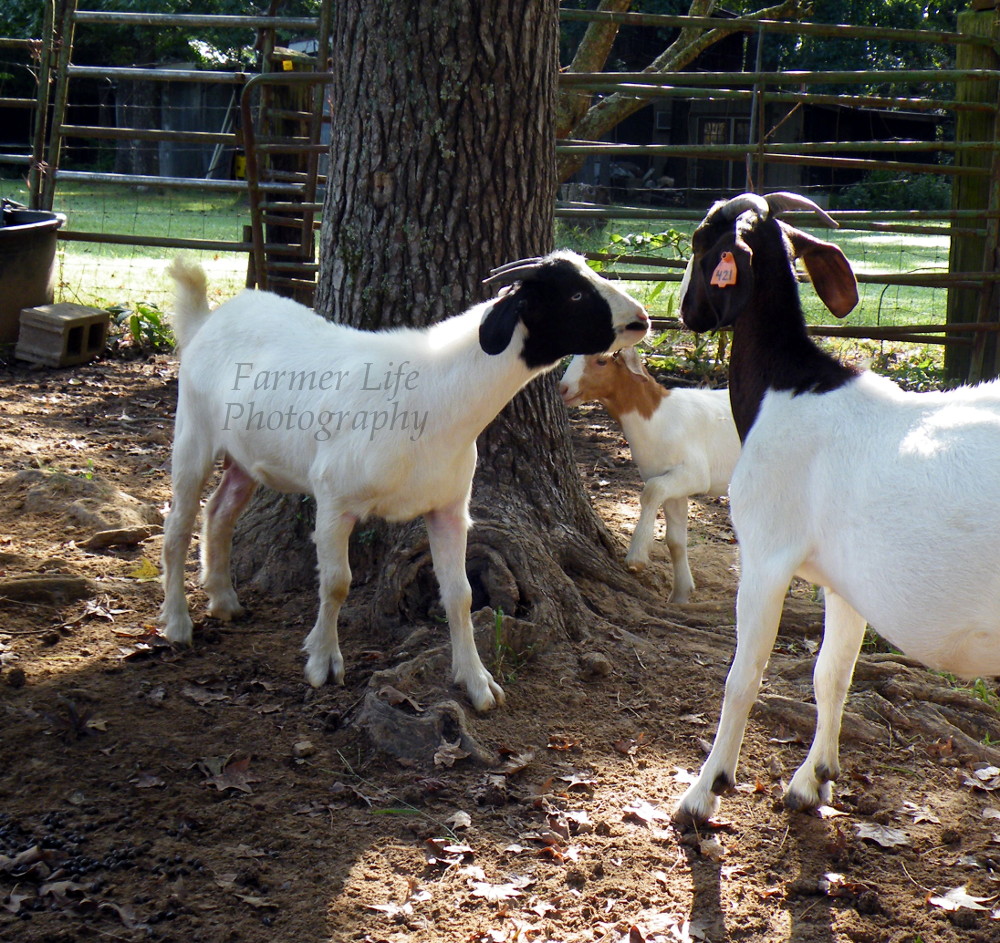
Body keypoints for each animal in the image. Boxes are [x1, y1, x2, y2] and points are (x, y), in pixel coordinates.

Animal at [161, 252, 649, 712]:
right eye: (574, 295)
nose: (641, 321)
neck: (434, 395)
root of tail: (210, 318)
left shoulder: (449, 506)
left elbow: (461, 594)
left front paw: (476, 681)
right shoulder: (334, 499)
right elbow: (336, 582)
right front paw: (323, 661)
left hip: (245, 459)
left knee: (219, 512)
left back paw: (223, 599)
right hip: (193, 434)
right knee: (178, 526)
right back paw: (178, 623)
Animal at [559, 348, 739, 602]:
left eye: (601, 361)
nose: (563, 388)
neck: (658, 418)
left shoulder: (693, 473)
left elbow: (652, 490)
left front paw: (637, 557)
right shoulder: (672, 484)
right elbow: (675, 541)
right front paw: (679, 596)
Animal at [674, 190, 1000, 823]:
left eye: (703, 237)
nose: (683, 312)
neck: (788, 388)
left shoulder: (765, 553)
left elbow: (742, 676)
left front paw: (705, 791)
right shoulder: (846, 581)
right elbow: (832, 673)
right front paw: (813, 779)